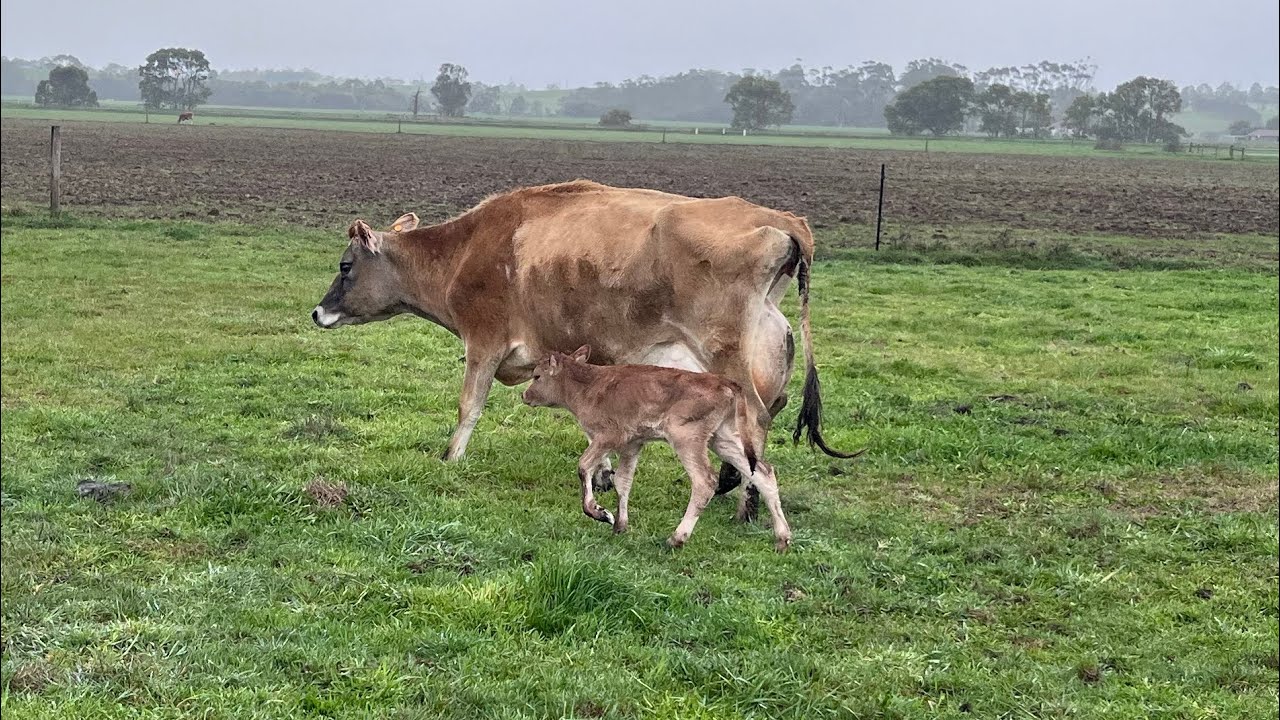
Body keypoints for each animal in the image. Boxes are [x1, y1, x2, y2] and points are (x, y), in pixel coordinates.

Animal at [311, 180, 854, 506]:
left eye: (345, 265)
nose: (317, 312)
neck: (466, 248)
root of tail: (783, 220)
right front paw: (607, 474)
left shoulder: (484, 340)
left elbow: (469, 405)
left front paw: (450, 460)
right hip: (769, 342)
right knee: (772, 407)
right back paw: (731, 482)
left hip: (728, 352)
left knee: (756, 418)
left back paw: (748, 500)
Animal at [521, 345, 792, 551]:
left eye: (536, 376)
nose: (525, 396)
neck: (588, 386)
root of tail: (727, 384)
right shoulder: (633, 444)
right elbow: (623, 481)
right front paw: (619, 526)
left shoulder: (609, 436)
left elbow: (584, 466)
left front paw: (600, 512)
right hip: (723, 439)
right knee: (763, 473)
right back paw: (782, 538)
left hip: (687, 437)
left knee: (705, 481)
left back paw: (676, 538)